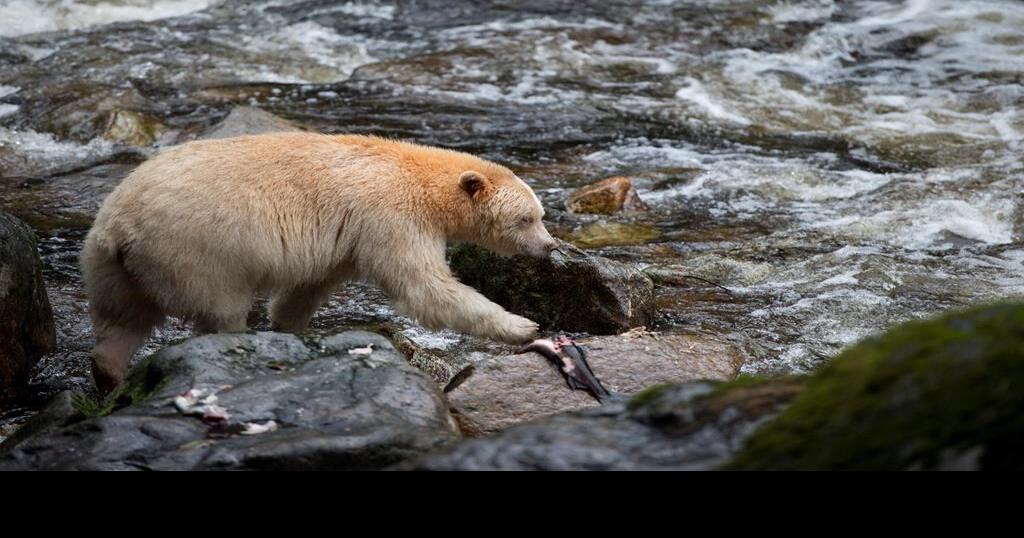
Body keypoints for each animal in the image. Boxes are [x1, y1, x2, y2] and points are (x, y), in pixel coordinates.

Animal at [80, 133, 558, 393]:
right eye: (526, 218)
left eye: (541, 215)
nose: (550, 247)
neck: (422, 179)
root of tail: (120, 226)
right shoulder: (392, 216)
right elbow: (424, 288)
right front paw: (523, 325)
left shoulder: (347, 238)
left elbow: (309, 286)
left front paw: (289, 326)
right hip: (196, 251)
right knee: (220, 310)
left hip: (113, 264)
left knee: (124, 317)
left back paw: (108, 373)